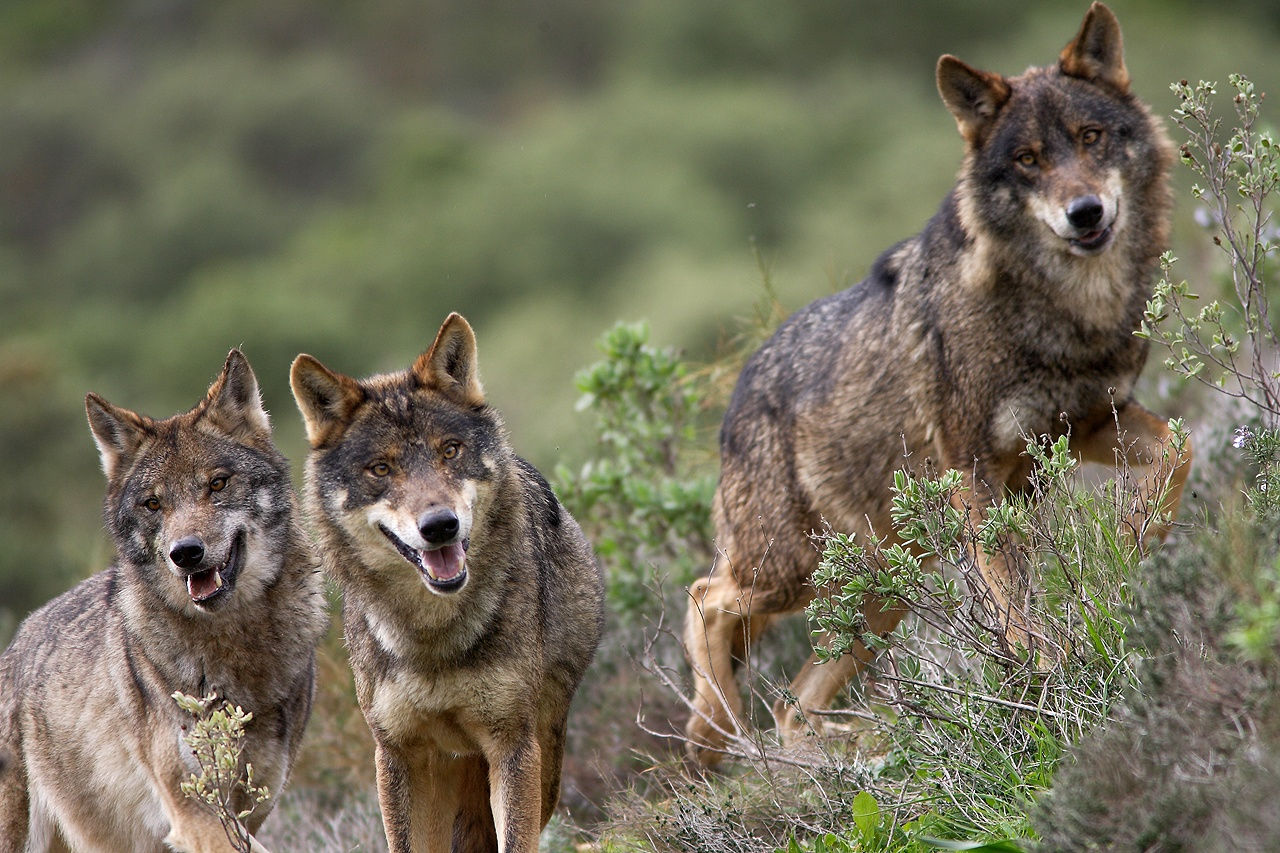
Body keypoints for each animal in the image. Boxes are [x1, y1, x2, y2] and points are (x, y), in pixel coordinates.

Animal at [0, 351, 327, 851]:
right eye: (154, 504)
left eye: (217, 484)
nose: (185, 553)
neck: (235, 646)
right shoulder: (195, 811)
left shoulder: (250, 807)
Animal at [290, 313, 605, 853]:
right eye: (381, 468)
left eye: (450, 451)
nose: (440, 526)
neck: (431, 637)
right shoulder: (397, 755)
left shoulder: (511, 745)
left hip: (543, 755)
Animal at [683, 2, 1192, 763]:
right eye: (1028, 160)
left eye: (1091, 137)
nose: (1086, 213)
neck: (1064, 312)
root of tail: (735, 392)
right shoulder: (975, 475)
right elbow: (1019, 613)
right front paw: (1051, 679)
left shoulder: (1092, 423)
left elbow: (1179, 454)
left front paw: (1134, 541)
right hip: (792, 570)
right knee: (705, 599)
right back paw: (718, 734)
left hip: (886, 583)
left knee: (792, 704)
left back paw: (829, 752)